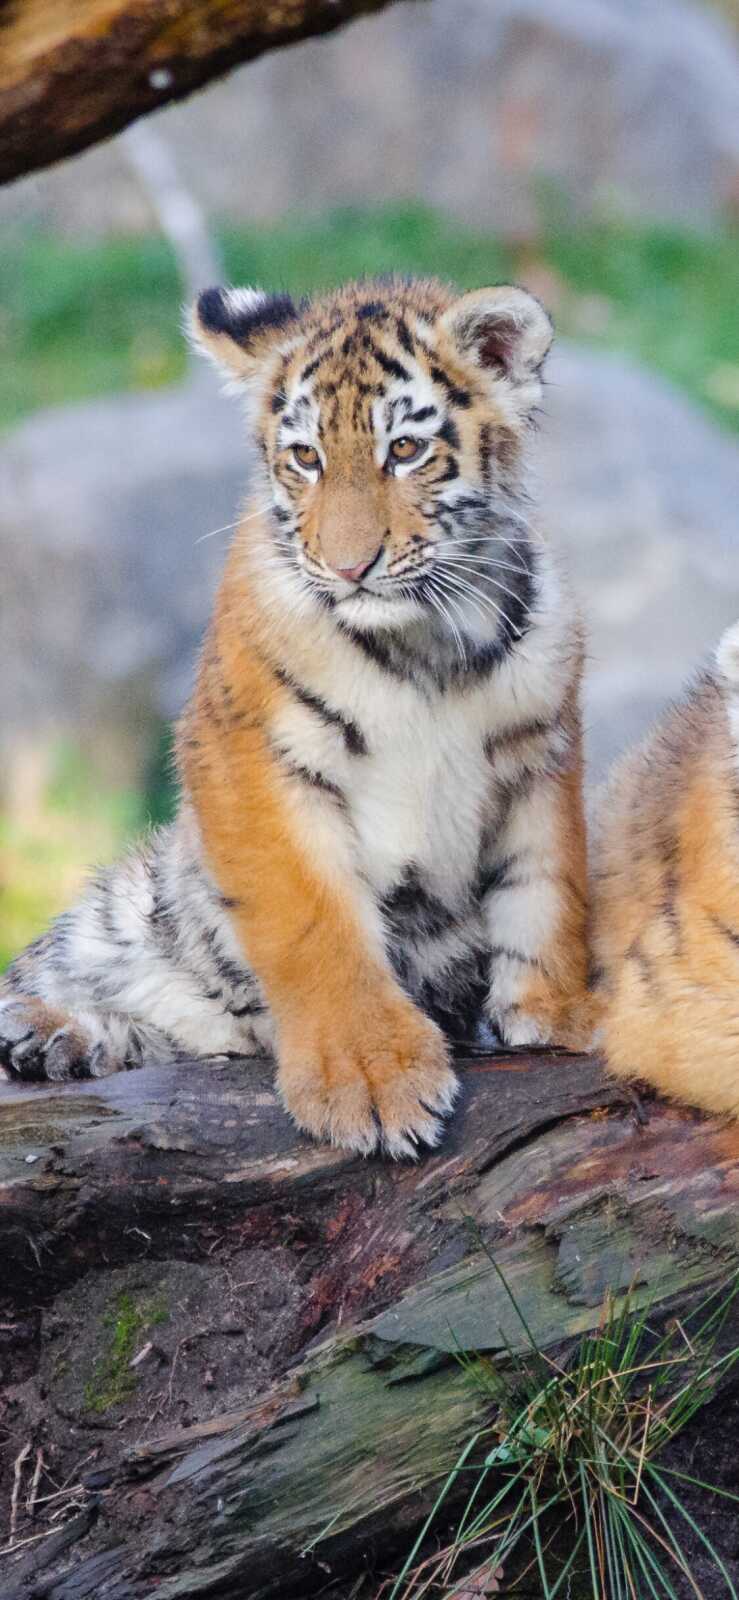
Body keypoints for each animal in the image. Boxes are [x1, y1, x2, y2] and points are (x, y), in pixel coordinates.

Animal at [0, 275, 590, 1156]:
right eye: (305, 458)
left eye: (404, 451)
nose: (348, 568)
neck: (424, 643)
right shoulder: (247, 752)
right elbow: (314, 924)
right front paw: (370, 1079)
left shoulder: (540, 747)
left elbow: (549, 888)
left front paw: (559, 1017)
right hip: (126, 912)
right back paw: (43, 1030)